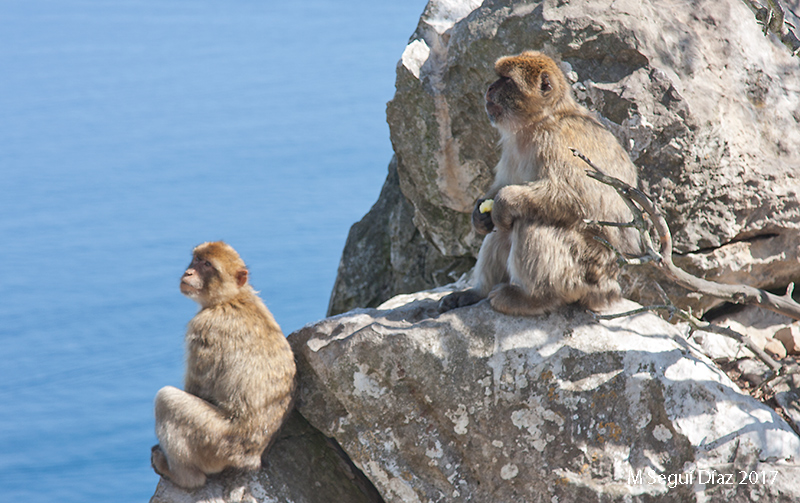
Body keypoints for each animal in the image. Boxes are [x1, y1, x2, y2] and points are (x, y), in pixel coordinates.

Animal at [151, 241, 296, 489]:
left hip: (214, 443)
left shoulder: (202, 329)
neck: (231, 298)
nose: (189, 272)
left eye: (208, 265)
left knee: (166, 399)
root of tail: (251, 458)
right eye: (196, 259)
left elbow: (197, 389)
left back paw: (184, 477)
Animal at [439, 51, 641, 316]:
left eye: (507, 80)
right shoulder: (512, 145)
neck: (539, 122)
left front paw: (503, 201)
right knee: (503, 228)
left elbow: (575, 199)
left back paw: (533, 298)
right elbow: (504, 184)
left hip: (585, 270)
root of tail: (611, 288)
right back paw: (477, 292)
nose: (490, 87)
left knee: (529, 221)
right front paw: (479, 214)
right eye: (499, 77)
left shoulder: (560, 141)